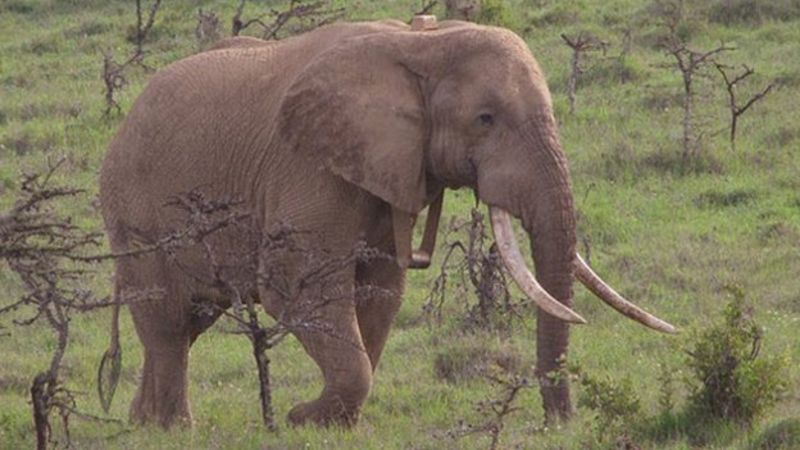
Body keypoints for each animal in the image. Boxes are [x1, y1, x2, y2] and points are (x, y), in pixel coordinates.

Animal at [98, 18, 675, 429]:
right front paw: (302, 419)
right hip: (134, 213)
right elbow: (294, 288)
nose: (559, 424)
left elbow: (380, 291)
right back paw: (174, 427)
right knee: (168, 320)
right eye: (485, 119)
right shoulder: (307, 163)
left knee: (189, 320)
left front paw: (331, 425)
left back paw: (143, 423)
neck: (422, 42)